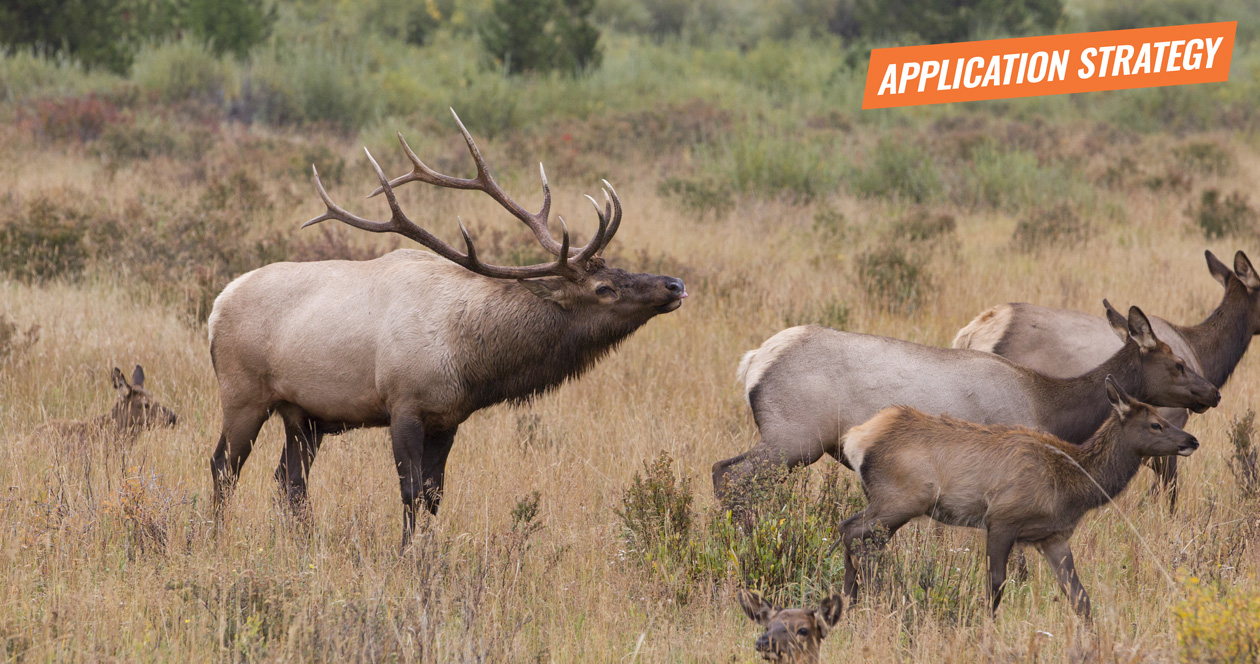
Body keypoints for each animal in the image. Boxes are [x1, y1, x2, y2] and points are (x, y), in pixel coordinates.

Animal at [207, 110, 687, 546]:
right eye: (604, 288)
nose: (675, 284)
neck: (468, 358)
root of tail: (216, 306)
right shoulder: (403, 404)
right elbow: (409, 492)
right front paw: (407, 554)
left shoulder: (449, 418)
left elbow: (434, 496)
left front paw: (428, 552)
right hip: (243, 393)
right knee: (223, 467)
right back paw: (213, 537)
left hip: (302, 414)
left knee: (288, 479)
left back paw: (303, 541)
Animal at [711, 305, 1219, 498]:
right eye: (1177, 364)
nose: (1212, 391)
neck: (1051, 406)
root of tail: (752, 362)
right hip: (794, 438)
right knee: (728, 473)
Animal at [837, 377, 1199, 619]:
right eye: (1155, 423)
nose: (1191, 440)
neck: (1072, 487)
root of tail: (856, 439)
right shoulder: (1002, 518)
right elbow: (995, 583)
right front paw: (986, 627)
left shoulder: (1054, 537)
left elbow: (1080, 597)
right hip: (902, 498)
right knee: (851, 531)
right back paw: (870, 598)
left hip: (892, 506)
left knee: (859, 537)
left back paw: (849, 604)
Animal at [953, 250, 1260, 511]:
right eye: (1179, 365)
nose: (1213, 394)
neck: (1204, 355)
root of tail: (970, 334)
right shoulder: (1169, 425)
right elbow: (1169, 493)